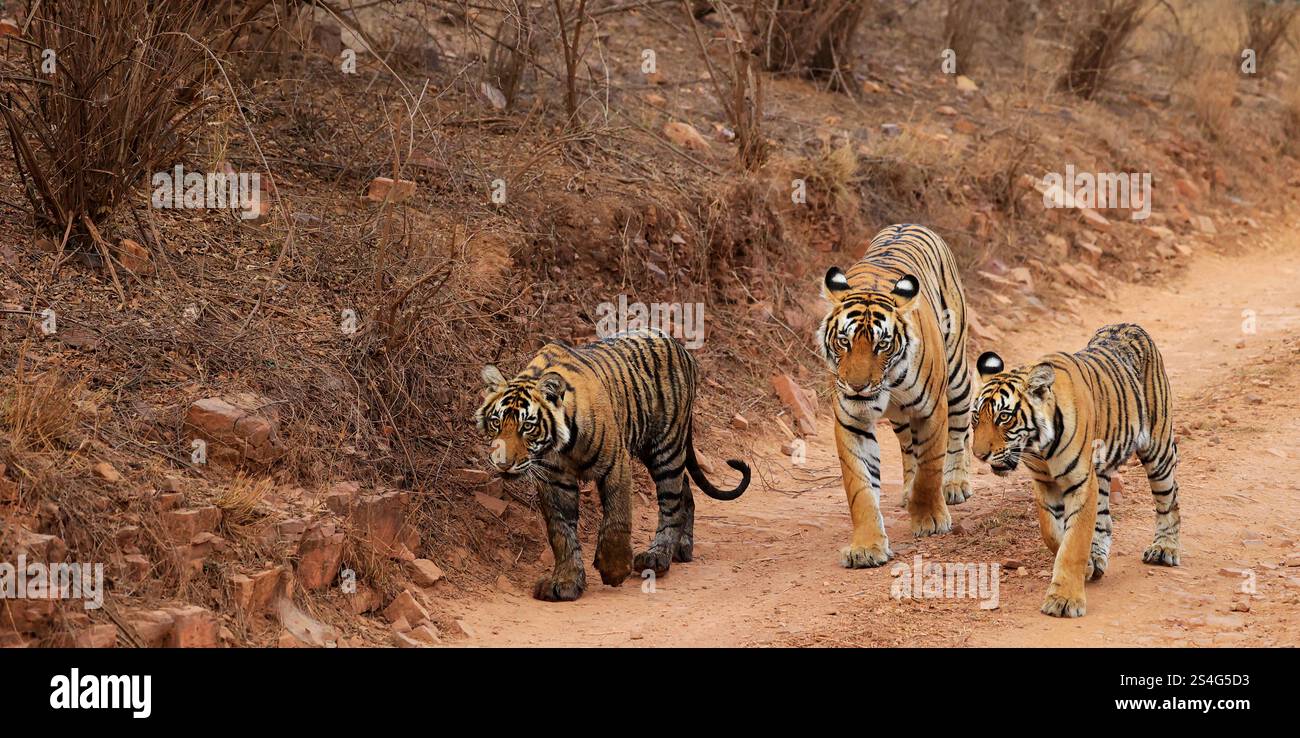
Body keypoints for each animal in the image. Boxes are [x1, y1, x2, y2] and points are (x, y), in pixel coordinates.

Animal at [475, 329, 750, 602]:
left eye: (528, 427)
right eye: (496, 423)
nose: (503, 464)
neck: (561, 444)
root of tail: (679, 345)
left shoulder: (616, 463)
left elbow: (617, 518)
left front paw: (614, 569)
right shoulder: (554, 479)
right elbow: (561, 532)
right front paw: (565, 582)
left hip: (667, 447)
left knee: (671, 503)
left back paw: (658, 557)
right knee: (685, 493)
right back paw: (681, 548)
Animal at [818, 224, 974, 569]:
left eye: (882, 345)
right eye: (844, 342)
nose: (857, 386)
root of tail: (912, 223)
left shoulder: (931, 411)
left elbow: (930, 467)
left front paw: (930, 519)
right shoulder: (852, 421)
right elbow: (860, 489)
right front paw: (866, 547)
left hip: (956, 372)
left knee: (960, 429)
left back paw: (955, 484)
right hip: (900, 417)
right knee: (907, 448)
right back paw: (907, 492)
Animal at [972, 323, 1181, 618]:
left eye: (1004, 417)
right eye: (976, 418)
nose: (979, 455)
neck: (1039, 447)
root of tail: (1130, 325)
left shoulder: (1081, 483)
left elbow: (1074, 543)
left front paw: (1064, 600)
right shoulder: (1045, 484)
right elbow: (1052, 533)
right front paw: (1087, 566)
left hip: (1157, 448)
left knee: (1168, 501)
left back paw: (1164, 549)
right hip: (1102, 469)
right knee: (1105, 518)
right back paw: (1099, 558)